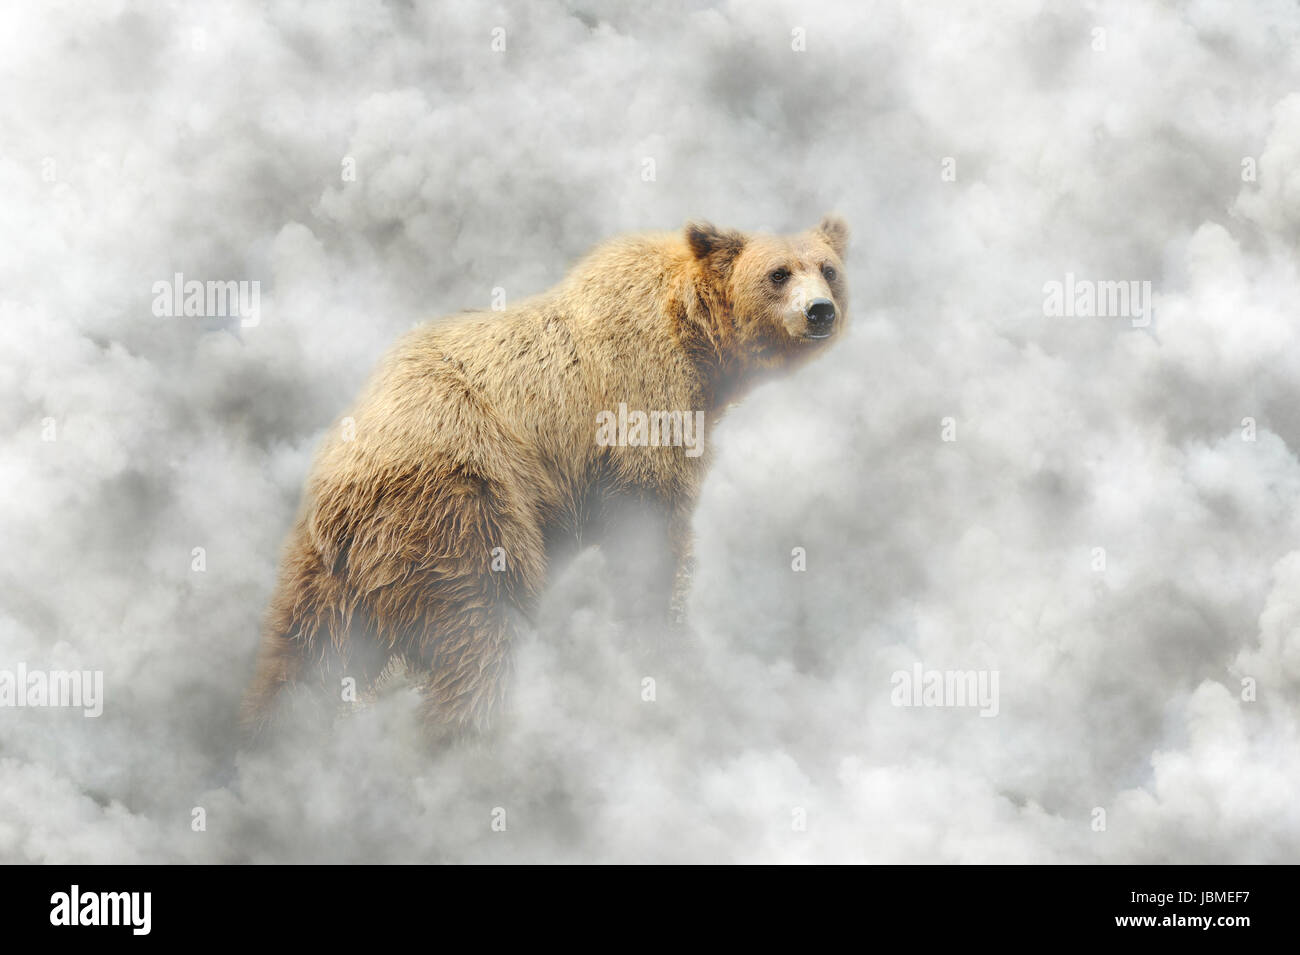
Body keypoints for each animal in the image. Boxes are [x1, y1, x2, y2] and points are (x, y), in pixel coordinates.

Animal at [241, 215, 849, 740]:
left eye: (829, 269)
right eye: (779, 273)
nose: (820, 311)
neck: (700, 348)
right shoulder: (638, 401)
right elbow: (651, 530)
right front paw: (666, 637)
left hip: (327, 565)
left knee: (304, 653)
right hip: (459, 507)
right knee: (476, 627)